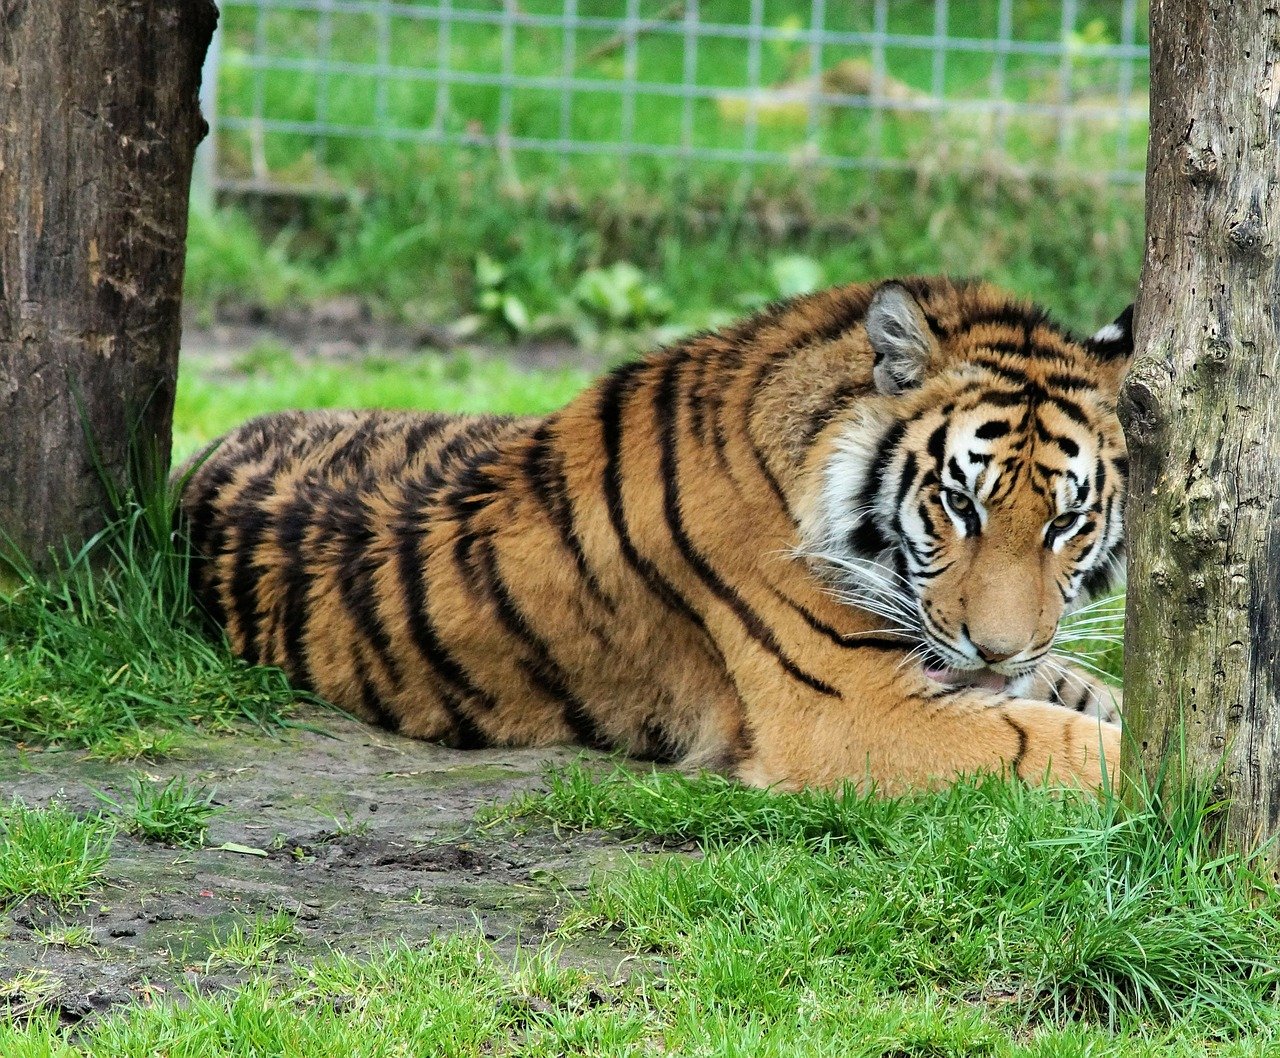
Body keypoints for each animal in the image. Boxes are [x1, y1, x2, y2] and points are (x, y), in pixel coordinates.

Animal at [177, 276, 1132, 795]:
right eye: (960, 505)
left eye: (1065, 521)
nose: (996, 649)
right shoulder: (855, 711)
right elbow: (1066, 742)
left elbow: (1087, 693)